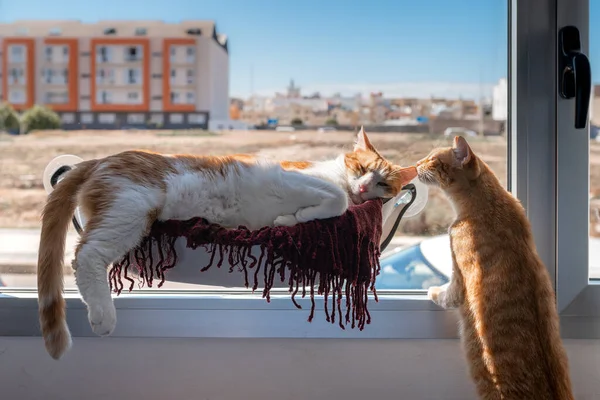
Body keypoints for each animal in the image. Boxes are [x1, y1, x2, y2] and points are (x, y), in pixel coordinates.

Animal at [37, 128, 418, 360]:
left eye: (383, 183)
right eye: (362, 168)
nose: (365, 188)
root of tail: (103, 158)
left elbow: (335, 204)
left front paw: (291, 219)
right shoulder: (296, 178)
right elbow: (336, 200)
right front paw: (291, 218)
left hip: (131, 217)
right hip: (132, 208)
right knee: (84, 256)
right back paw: (103, 316)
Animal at [414, 136, 576, 398]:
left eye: (433, 160)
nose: (417, 164)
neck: (490, 205)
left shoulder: (458, 279)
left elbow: (447, 295)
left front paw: (433, 290)